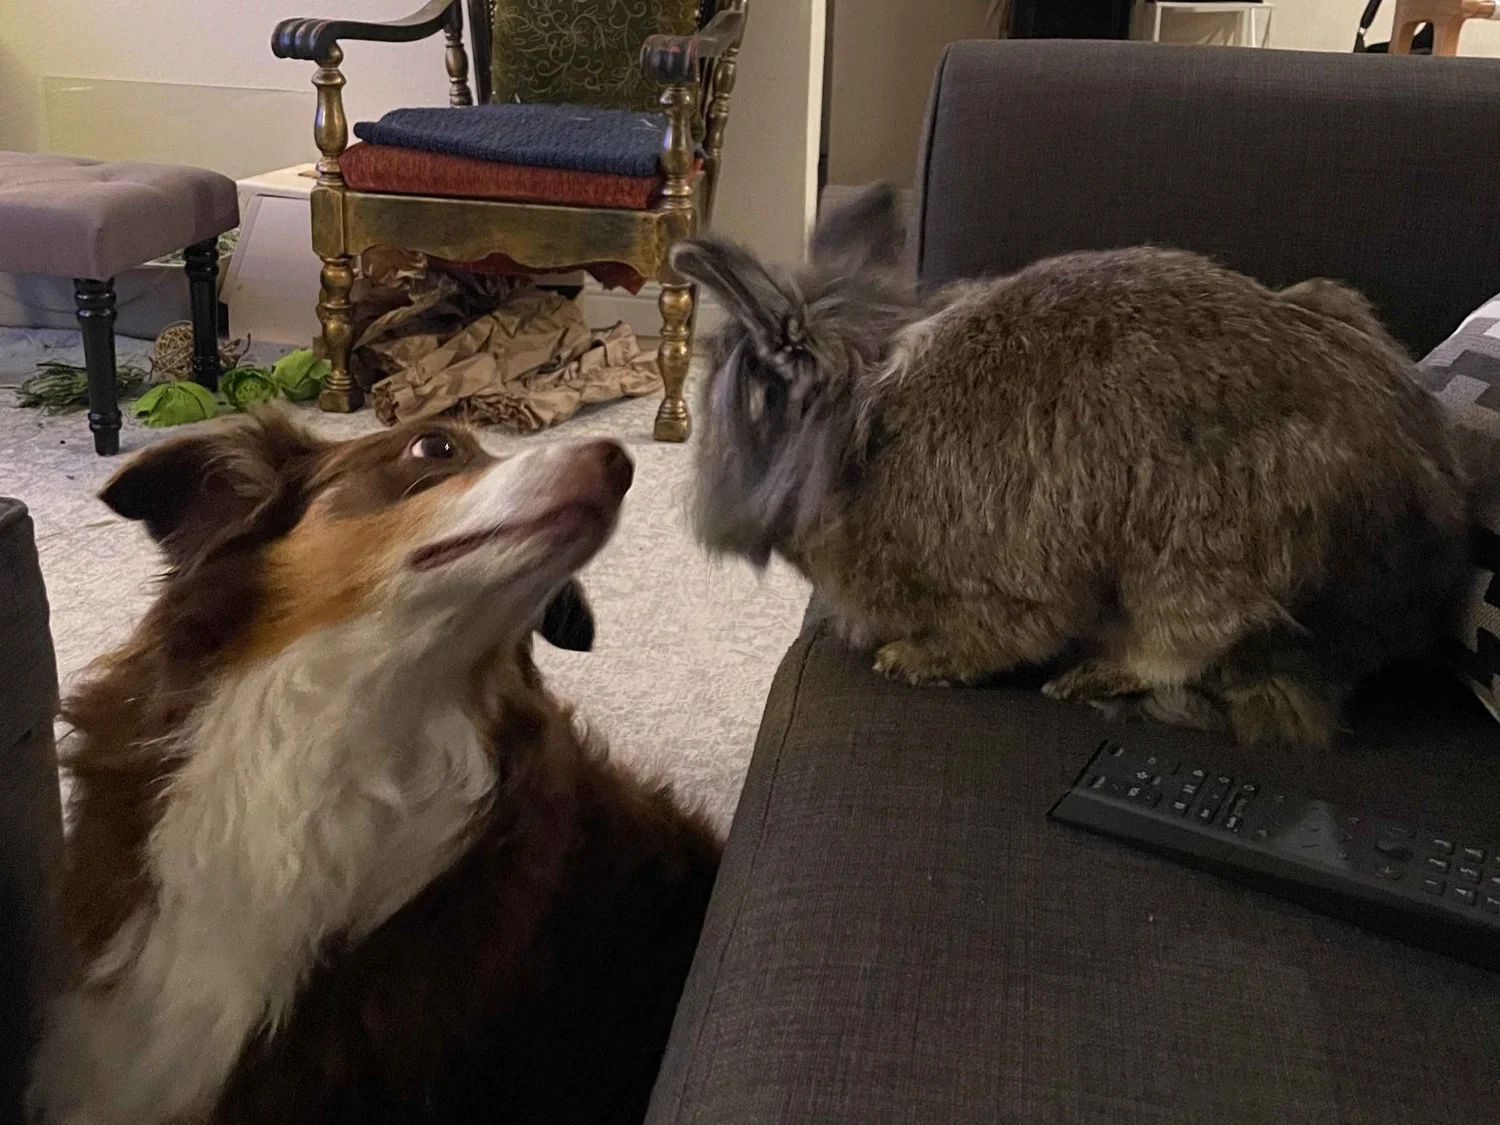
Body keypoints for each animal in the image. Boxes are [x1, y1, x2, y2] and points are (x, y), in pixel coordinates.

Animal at [671, 183, 1471, 748]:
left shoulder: (1007, 586)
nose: (709, 525)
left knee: (1180, 647)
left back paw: (1085, 678)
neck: (856, 440)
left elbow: (1002, 635)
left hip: (1196, 558)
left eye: (739, 403)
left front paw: (912, 660)